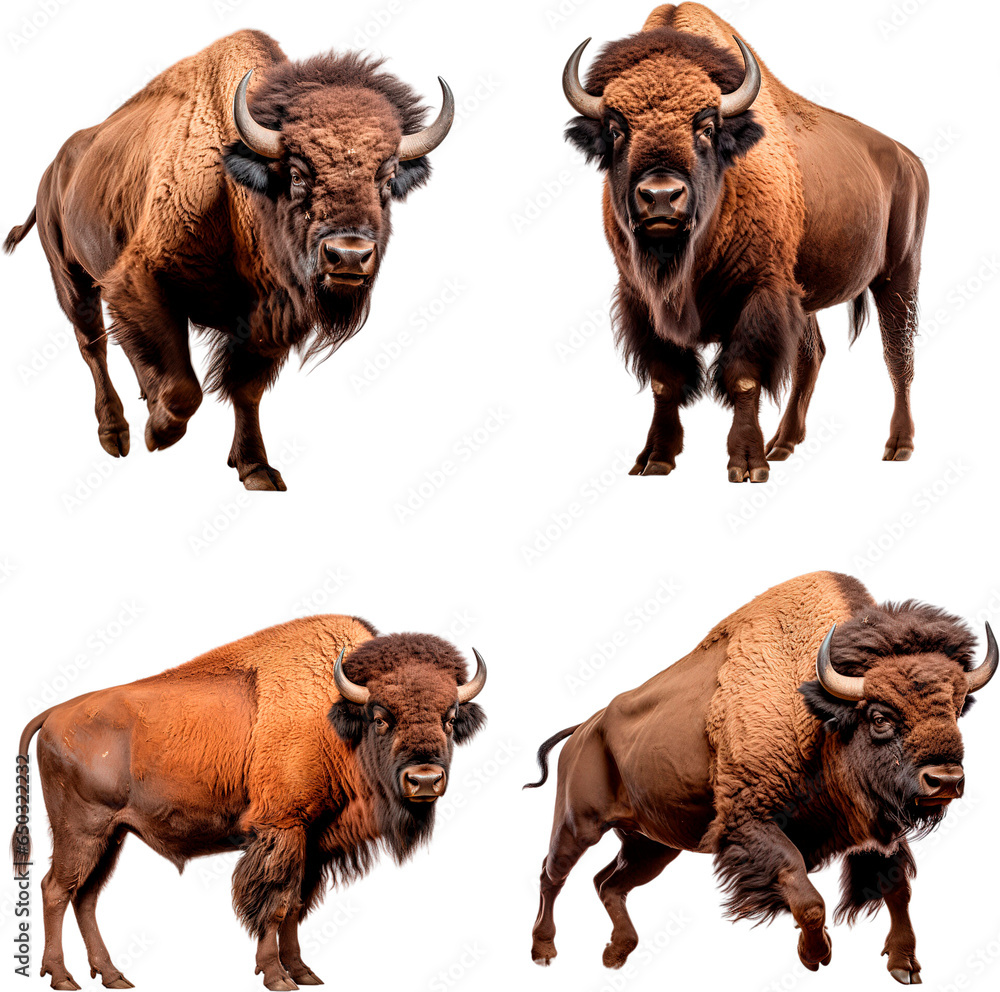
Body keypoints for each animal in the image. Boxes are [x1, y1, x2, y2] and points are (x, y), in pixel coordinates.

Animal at [4, 31, 454, 489]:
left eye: (387, 179)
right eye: (296, 174)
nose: (348, 254)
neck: (237, 188)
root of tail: (52, 171)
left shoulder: (269, 319)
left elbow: (244, 390)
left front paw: (256, 468)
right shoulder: (141, 279)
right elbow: (186, 390)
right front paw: (159, 432)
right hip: (70, 277)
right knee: (93, 345)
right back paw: (117, 433)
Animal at [13, 615, 487, 990]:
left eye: (450, 718)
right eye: (381, 717)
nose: (424, 780)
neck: (334, 717)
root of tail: (53, 714)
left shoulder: (311, 841)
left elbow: (296, 904)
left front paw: (303, 972)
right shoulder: (281, 829)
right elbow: (273, 905)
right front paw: (277, 977)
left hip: (112, 836)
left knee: (86, 896)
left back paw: (113, 976)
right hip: (82, 830)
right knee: (56, 889)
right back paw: (62, 977)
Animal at [526, 572, 995, 983]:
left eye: (956, 710)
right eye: (880, 717)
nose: (946, 780)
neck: (815, 714)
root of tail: (585, 728)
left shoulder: (879, 831)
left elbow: (898, 889)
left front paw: (904, 965)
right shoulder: (749, 822)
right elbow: (806, 895)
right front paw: (816, 953)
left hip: (651, 845)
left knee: (609, 883)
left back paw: (616, 954)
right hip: (578, 825)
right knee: (552, 875)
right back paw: (543, 951)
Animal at [562, 4, 929, 481]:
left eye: (707, 126)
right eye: (616, 128)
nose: (660, 197)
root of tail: (908, 159)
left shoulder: (759, 292)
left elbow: (744, 376)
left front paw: (747, 464)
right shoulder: (642, 298)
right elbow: (665, 378)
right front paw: (656, 459)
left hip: (900, 273)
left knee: (897, 353)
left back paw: (898, 446)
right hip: (807, 293)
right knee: (812, 356)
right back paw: (784, 444)